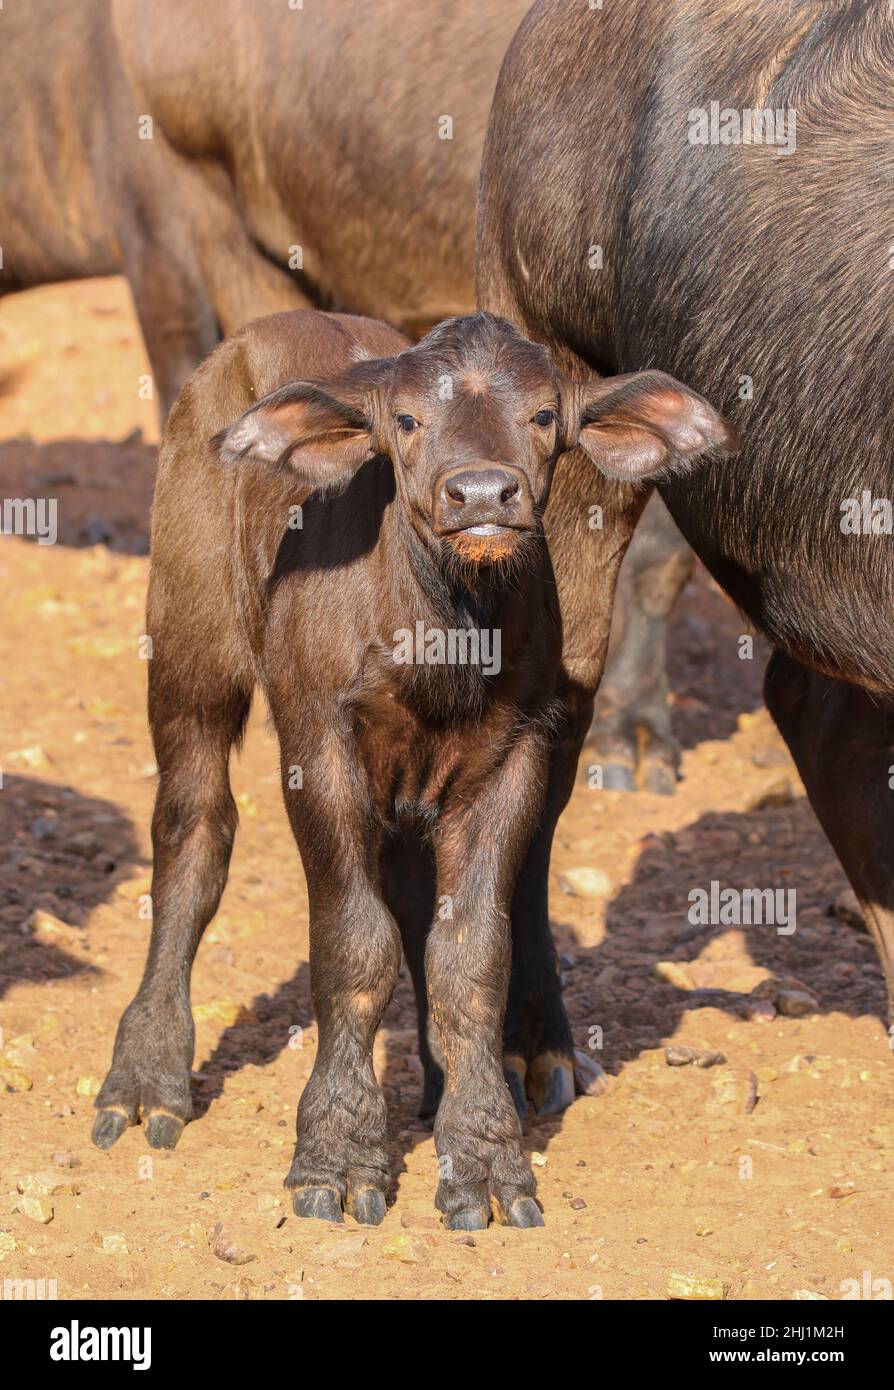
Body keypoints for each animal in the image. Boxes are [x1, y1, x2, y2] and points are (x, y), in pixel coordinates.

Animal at [89, 307, 734, 1225]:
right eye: (405, 420)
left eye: (544, 414)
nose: (483, 495)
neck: (442, 631)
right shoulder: (318, 751)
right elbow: (354, 946)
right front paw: (335, 1156)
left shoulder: (514, 759)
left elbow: (469, 953)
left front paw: (484, 1155)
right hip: (188, 646)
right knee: (193, 829)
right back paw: (147, 1078)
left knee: (411, 892)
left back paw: (434, 1082)